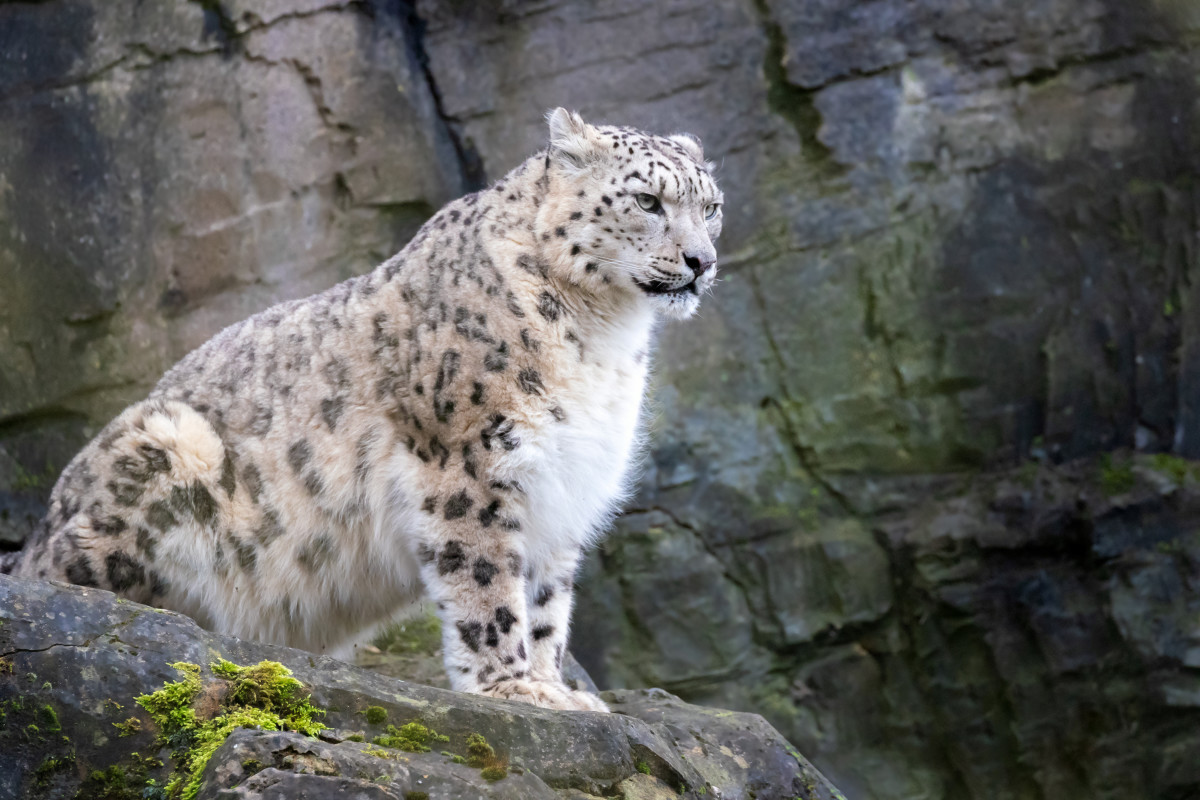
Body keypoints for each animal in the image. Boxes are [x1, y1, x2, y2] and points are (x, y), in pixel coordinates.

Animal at [3, 109, 723, 712]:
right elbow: (488, 583)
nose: (702, 261)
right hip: (167, 444)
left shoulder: (567, 485)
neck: (605, 338)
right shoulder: (473, 464)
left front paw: (556, 686)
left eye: (711, 206)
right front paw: (514, 687)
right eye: (648, 200)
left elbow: (547, 602)